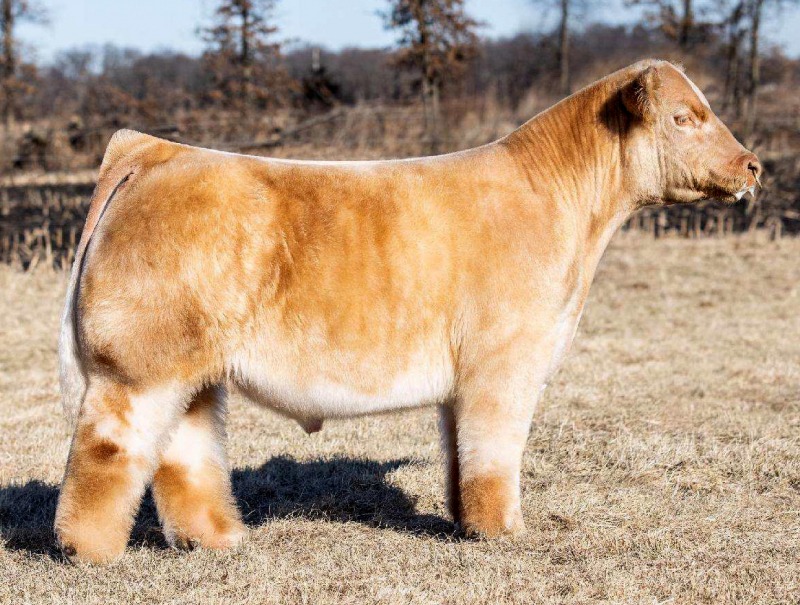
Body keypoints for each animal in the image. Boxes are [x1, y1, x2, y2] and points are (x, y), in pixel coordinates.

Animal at [55, 59, 761, 562]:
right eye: (684, 117)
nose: (752, 165)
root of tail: (155, 151)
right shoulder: (503, 366)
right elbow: (494, 453)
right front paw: (505, 532)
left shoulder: (466, 380)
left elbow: (459, 453)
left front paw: (465, 524)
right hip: (137, 368)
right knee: (107, 450)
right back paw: (92, 554)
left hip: (188, 370)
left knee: (184, 452)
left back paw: (219, 541)